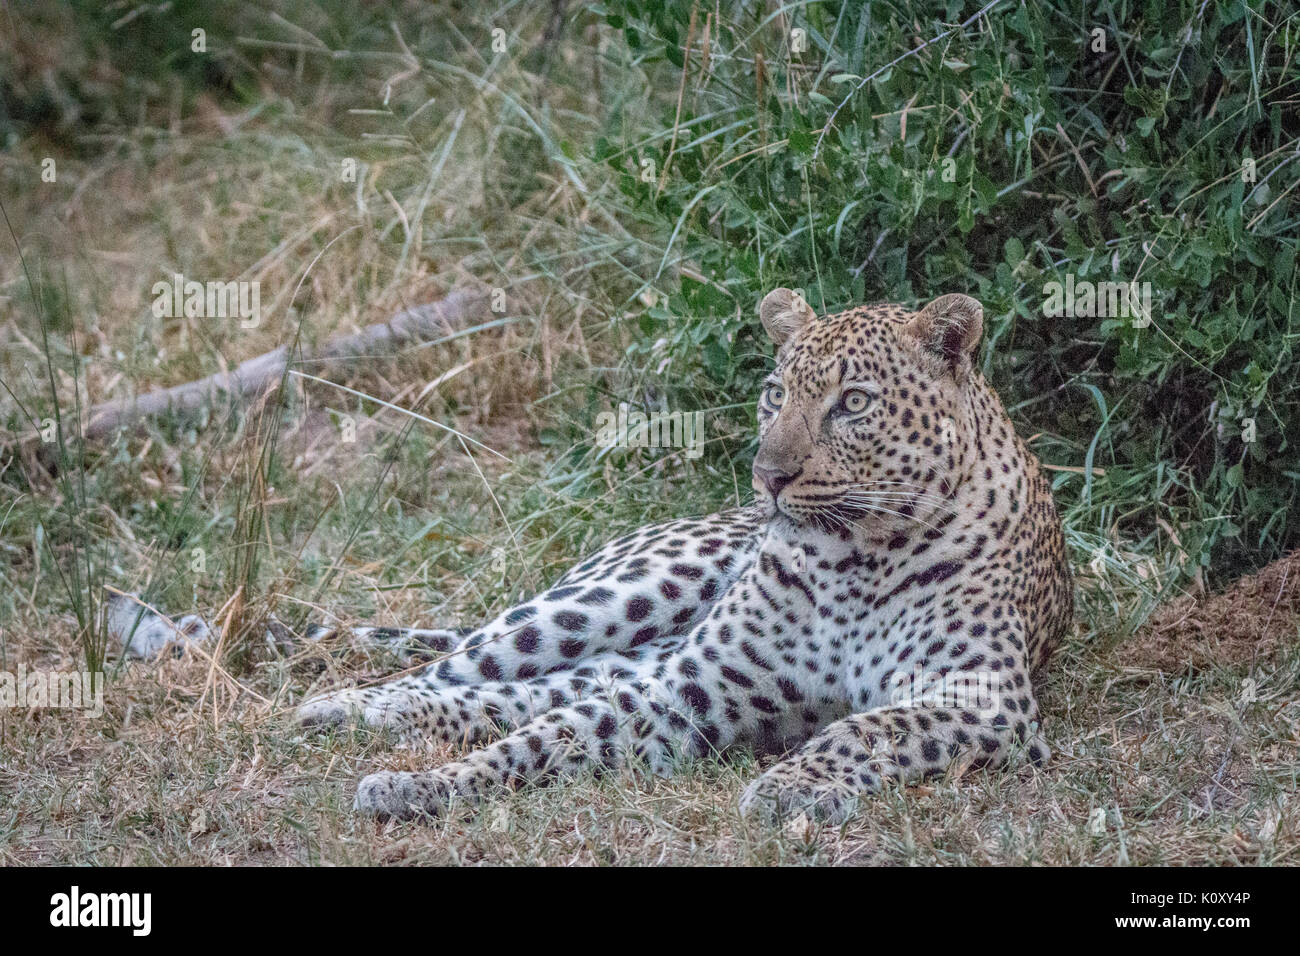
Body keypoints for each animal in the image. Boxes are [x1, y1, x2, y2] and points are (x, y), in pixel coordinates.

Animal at [296, 287, 1074, 824]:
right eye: (774, 394)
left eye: (853, 403)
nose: (769, 477)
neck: (851, 560)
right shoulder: (689, 689)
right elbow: (550, 736)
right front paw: (424, 784)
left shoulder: (981, 698)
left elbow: (867, 728)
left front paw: (791, 786)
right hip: (616, 599)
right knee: (462, 667)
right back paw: (344, 708)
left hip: (629, 651)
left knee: (520, 694)